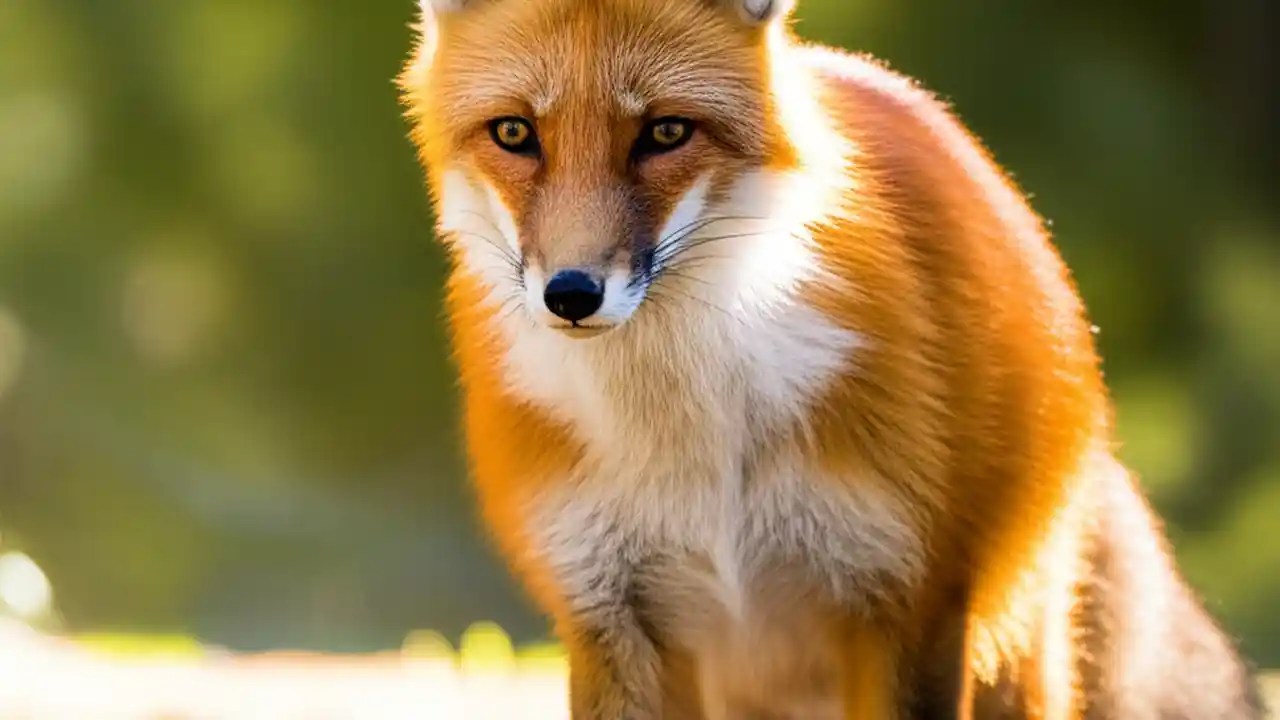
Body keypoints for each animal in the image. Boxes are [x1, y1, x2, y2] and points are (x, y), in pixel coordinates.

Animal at [398, 0, 1264, 717]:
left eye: (666, 132)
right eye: (515, 133)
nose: (572, 294)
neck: (689, 447)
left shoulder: (907, 606)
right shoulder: (606, 613)